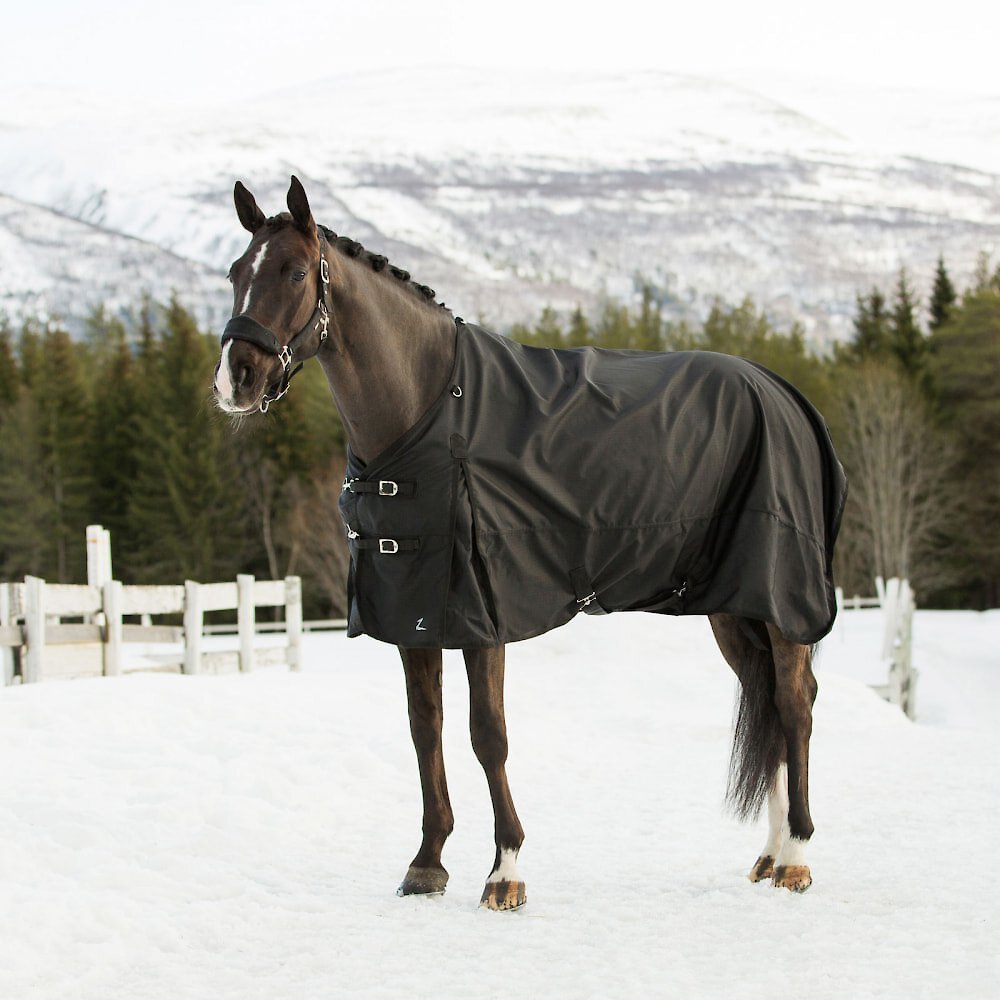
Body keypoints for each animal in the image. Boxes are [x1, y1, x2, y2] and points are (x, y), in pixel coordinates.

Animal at [213, 176, 847, 909]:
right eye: (236, 273)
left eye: (292, 272)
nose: (235, 378)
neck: (430, 409)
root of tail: (785, 394)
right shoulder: (413, 615)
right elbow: (424, 730)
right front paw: (427, 864)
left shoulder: (482, 613)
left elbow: (487, 735)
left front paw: (504, 871)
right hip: (734, 603)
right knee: (767, 700)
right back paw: (769, 855)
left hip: (780, 598)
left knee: (795, 705)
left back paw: (797, 857)